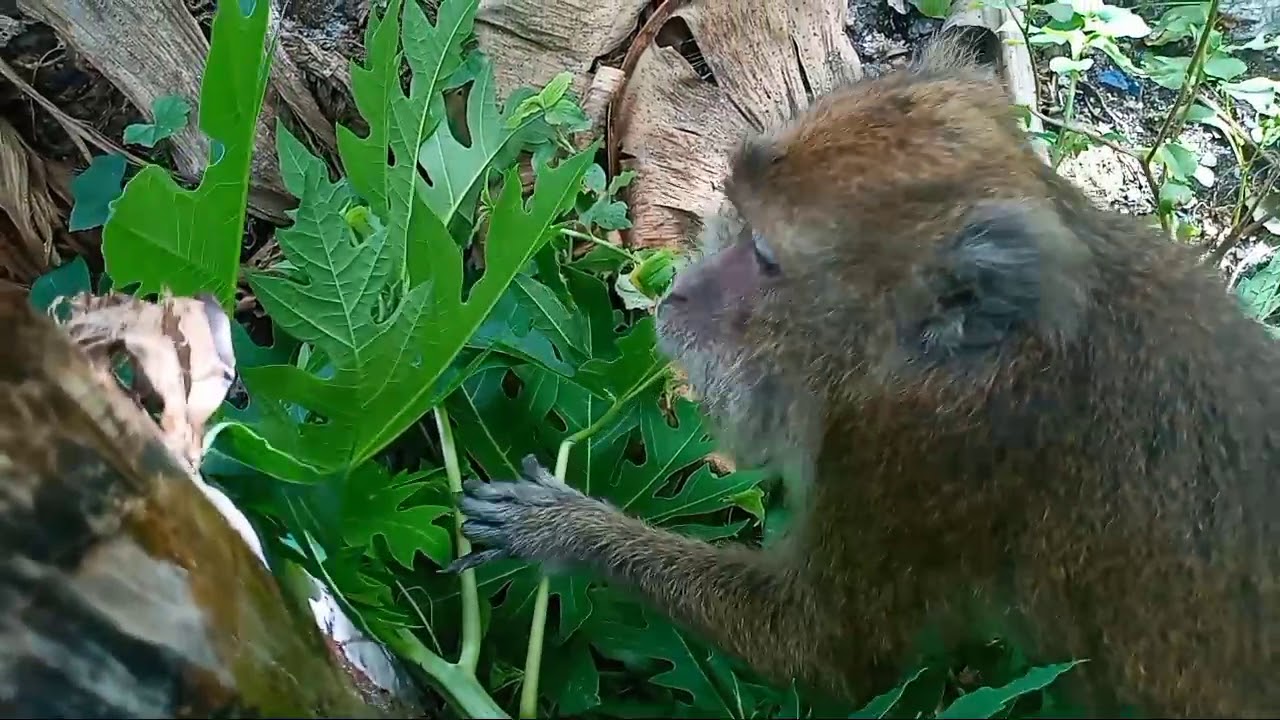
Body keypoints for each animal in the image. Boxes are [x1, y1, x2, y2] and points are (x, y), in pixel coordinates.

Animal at [450, 36, 1280, 717]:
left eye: (764, 256)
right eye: (736, 216)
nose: (681, 294)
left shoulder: (914, 462)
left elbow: (821, 650)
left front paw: (564, 530)